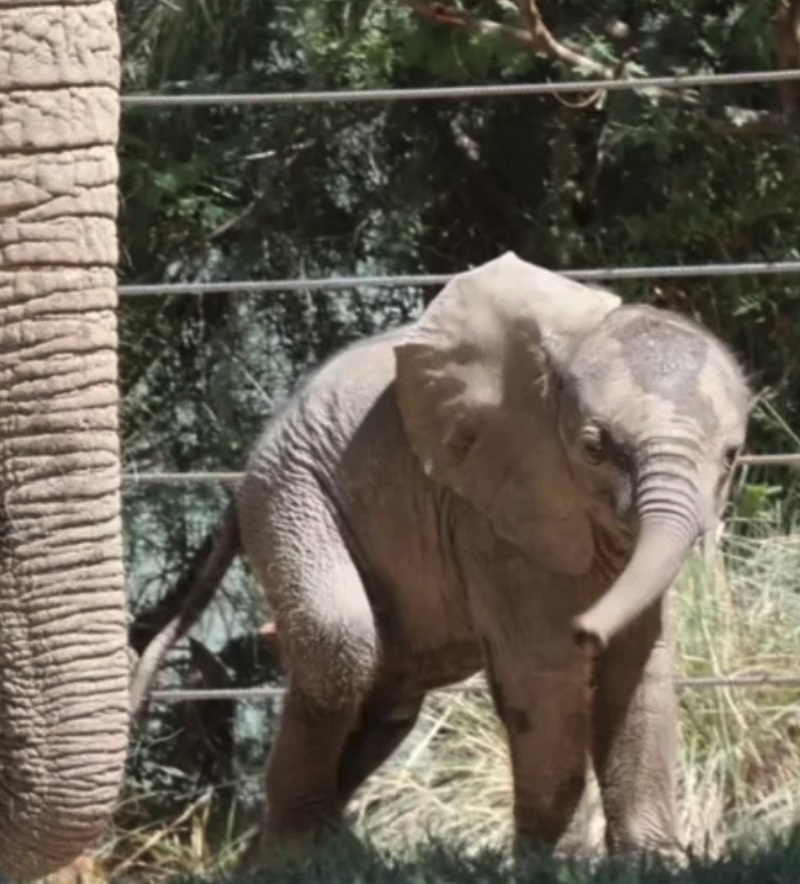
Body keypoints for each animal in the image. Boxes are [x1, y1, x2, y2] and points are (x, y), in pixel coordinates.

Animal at [132, 252, 752, 870]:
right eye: (594, 449)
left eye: (731, 455)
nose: (587, 629)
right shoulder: (490, 509)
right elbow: (541, 666)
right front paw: (555, 868)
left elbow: (640, 667)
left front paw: (651, 865)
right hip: (290, 496)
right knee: (341, 644)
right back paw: (297, 858)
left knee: (389, 695)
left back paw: (296, 856)